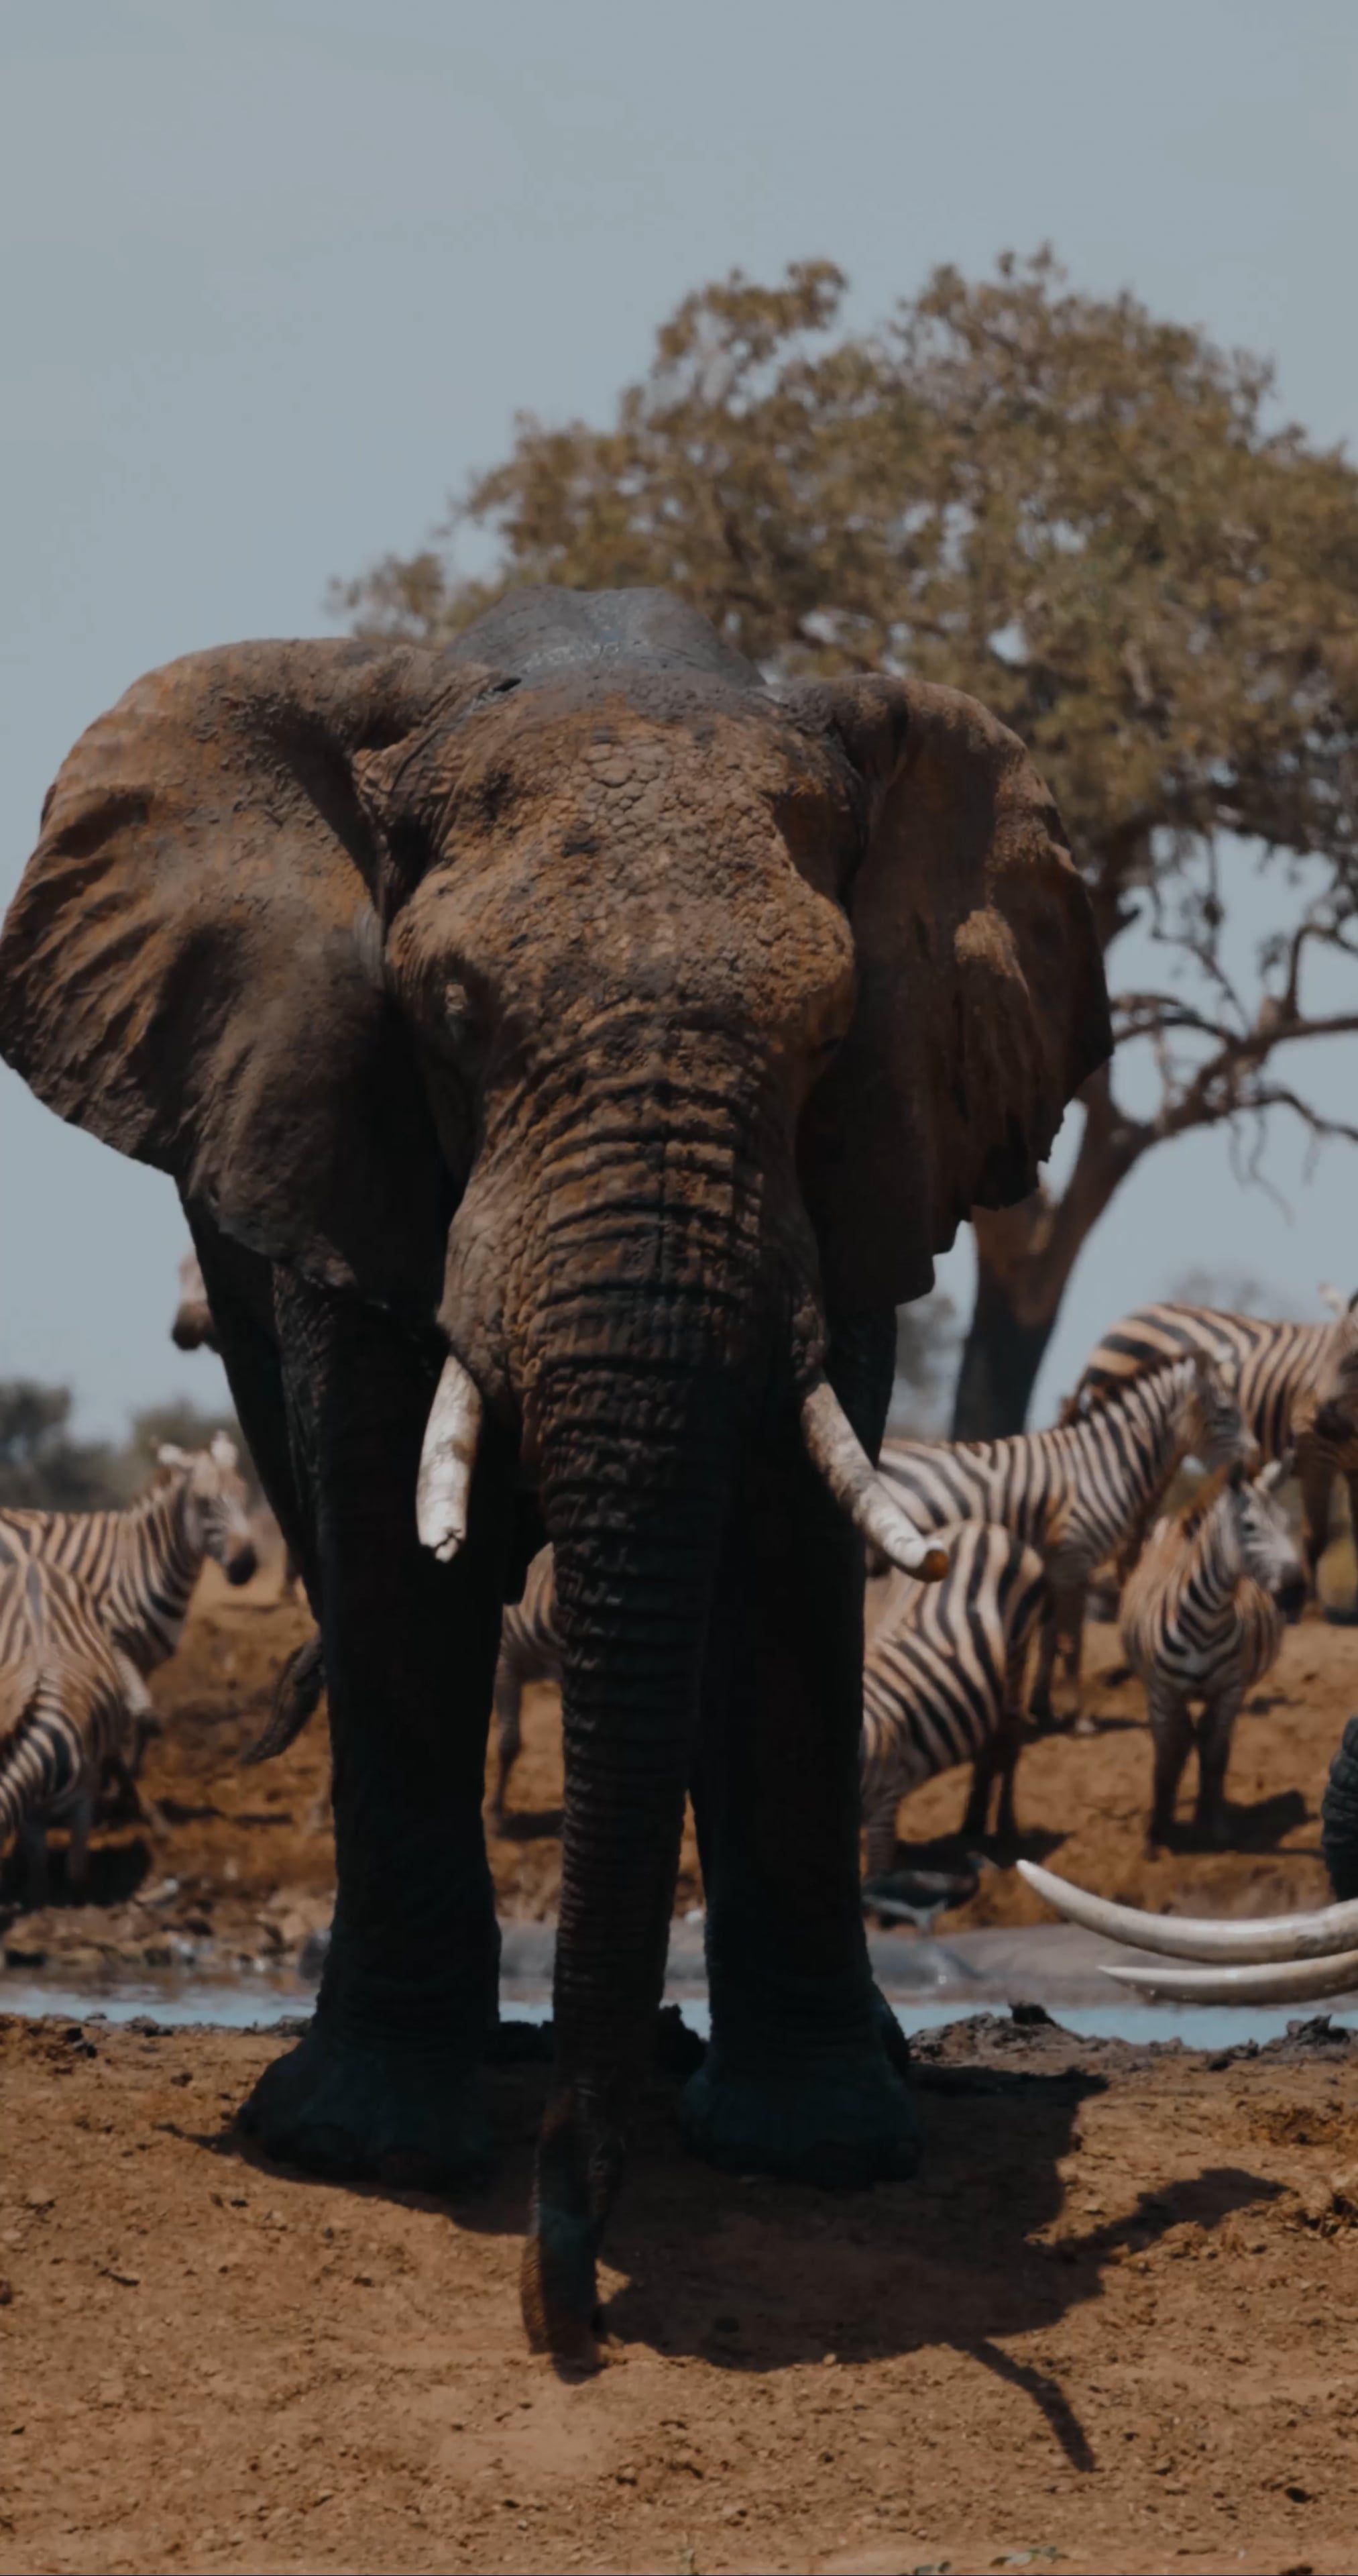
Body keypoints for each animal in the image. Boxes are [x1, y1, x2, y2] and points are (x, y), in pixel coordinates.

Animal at [0, 586, 1109, 2357]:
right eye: (450, 1019)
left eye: (824, 1038)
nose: (561, 2298)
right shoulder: (336, 1133)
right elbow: (391, 1558)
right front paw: (363, 2143)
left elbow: (783, 1566)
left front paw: (821, 2148)